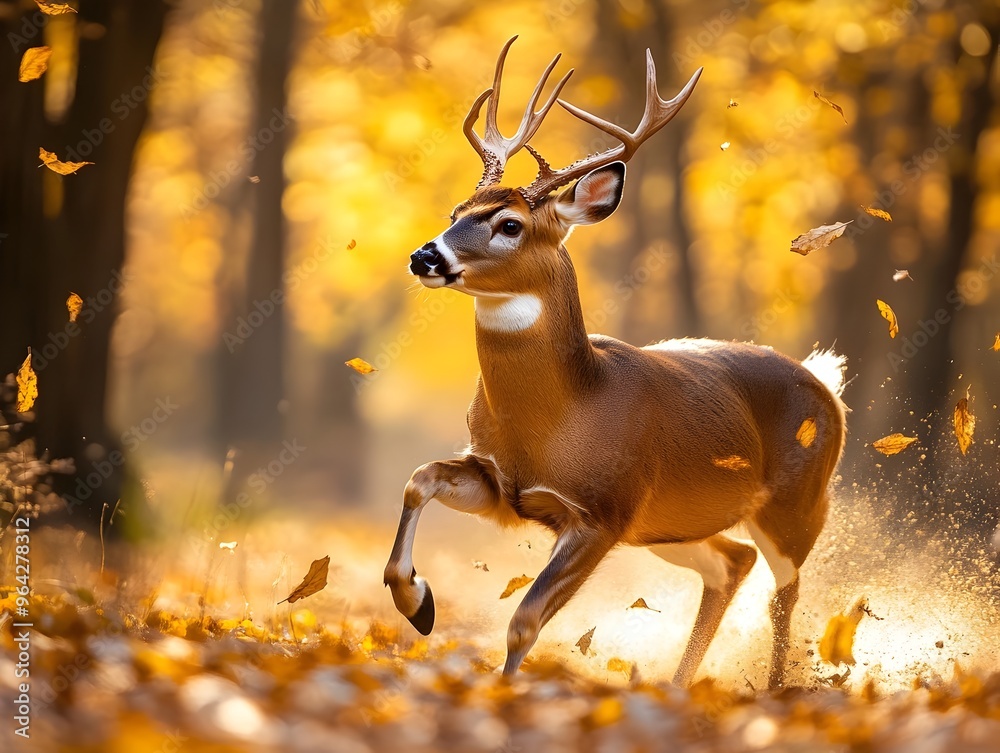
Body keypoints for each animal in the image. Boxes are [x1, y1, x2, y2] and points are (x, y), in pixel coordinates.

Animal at [384, 36, 847, 689]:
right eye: (457, 210)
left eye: (509, 224)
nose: (424, 256)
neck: (566, 412)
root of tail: (827, 382)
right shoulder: (504, 487)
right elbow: (418, 479)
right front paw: (417, 603)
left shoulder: (603, 513)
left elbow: (524, 620)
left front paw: (503, 693)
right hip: (673, 522)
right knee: (732, 561)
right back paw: (679, 686)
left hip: (795, 504)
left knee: (785, 588)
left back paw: (775, 689)